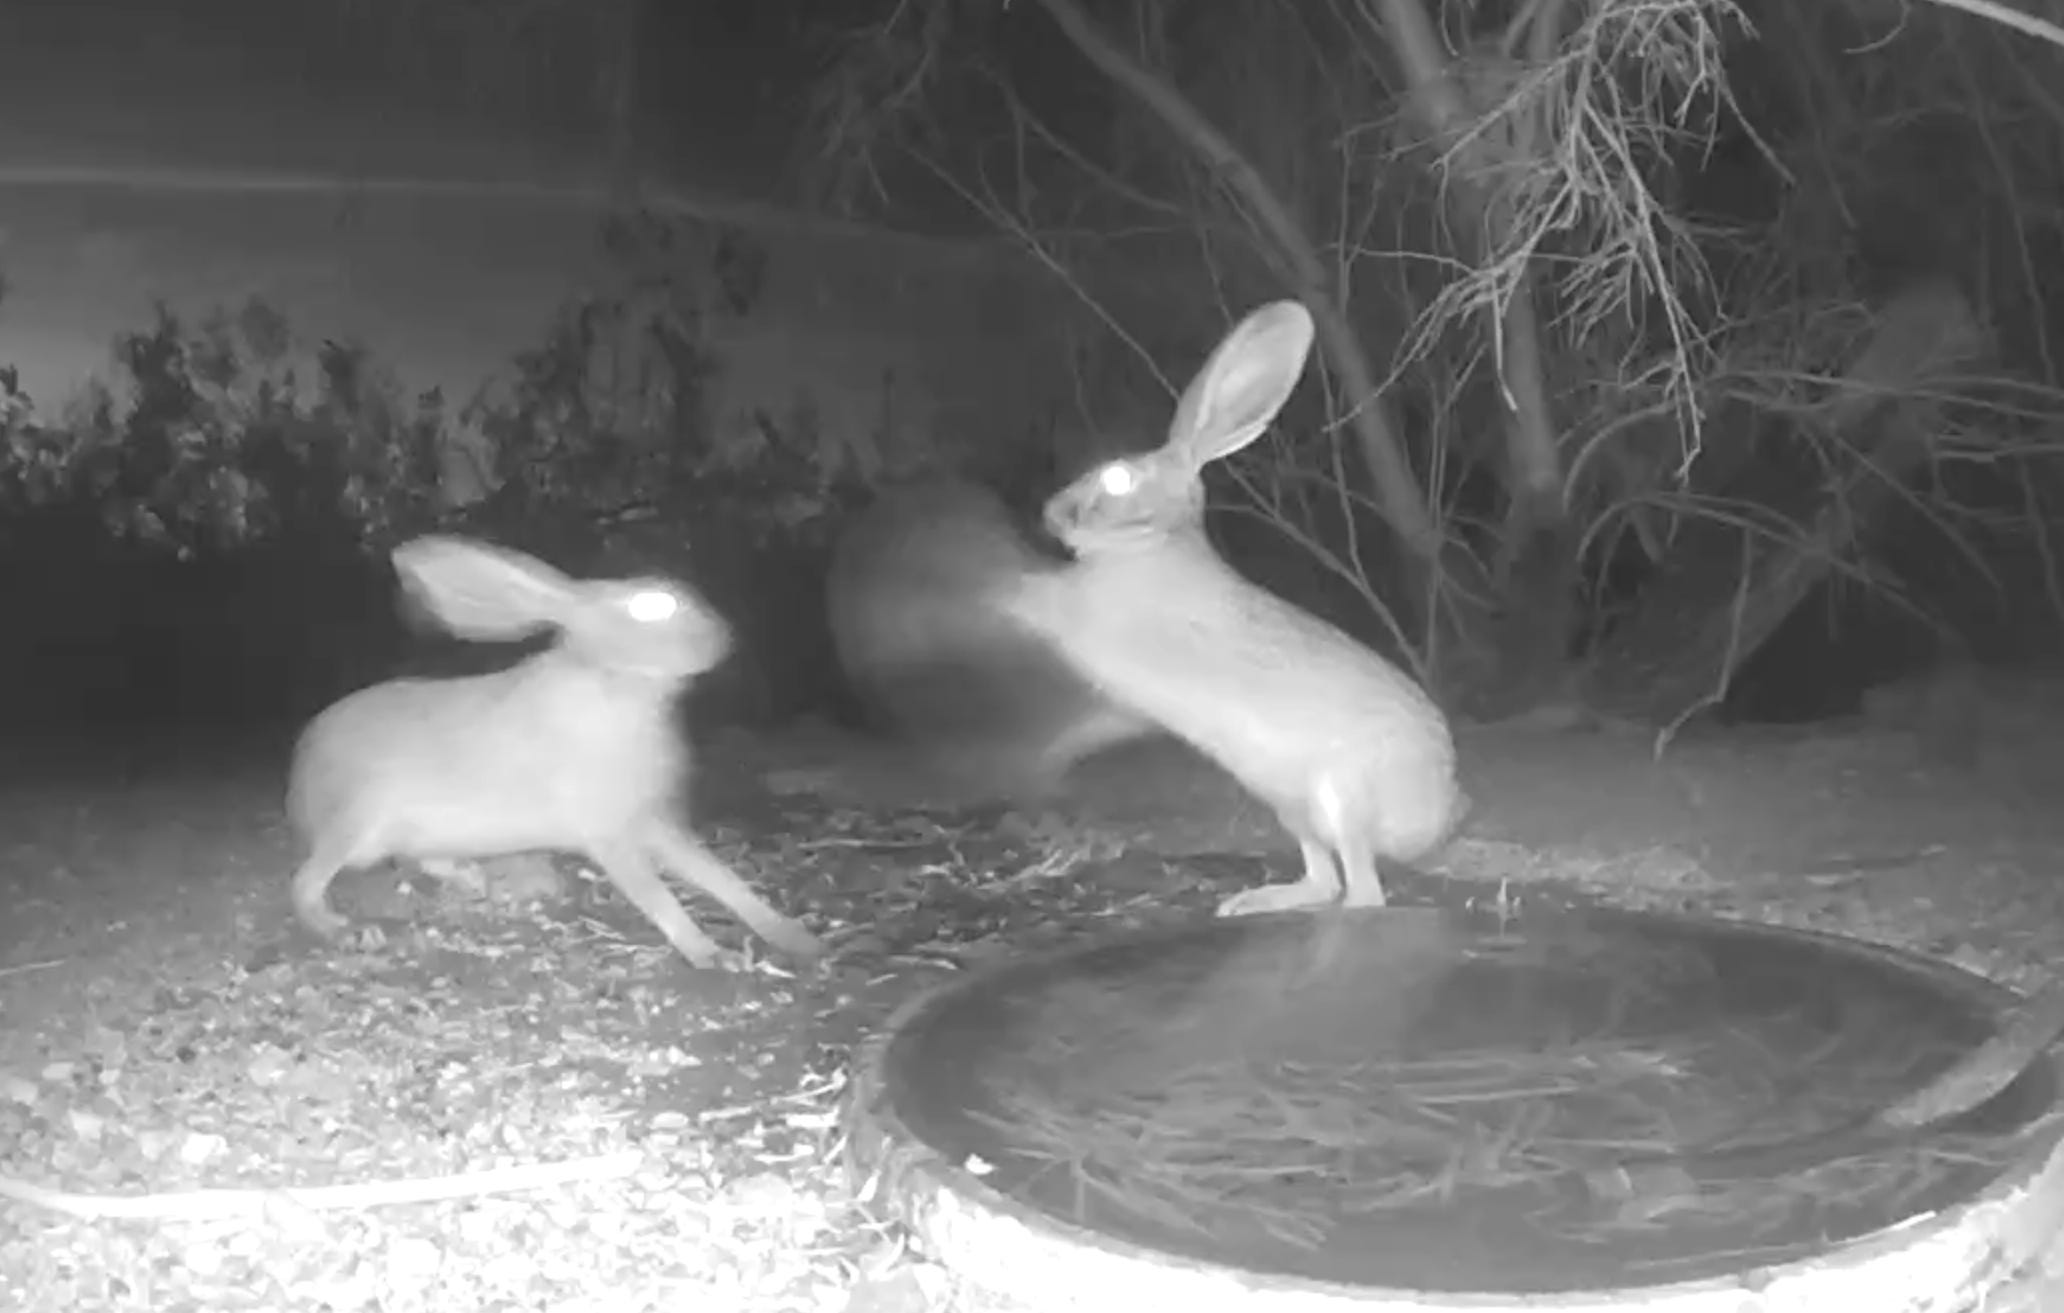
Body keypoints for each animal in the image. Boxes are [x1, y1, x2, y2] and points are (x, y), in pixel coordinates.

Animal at [285, 534, 821, 969]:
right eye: (651, 607)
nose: (724, 636)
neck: (616, 682)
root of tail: (298, 781)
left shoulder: (653, 821)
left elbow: (721, 877)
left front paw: (793, 937)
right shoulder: (610, 832)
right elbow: (657, 894)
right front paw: (710, 954)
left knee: (421, 860)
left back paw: (472, 879)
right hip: (354, 822)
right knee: (305, 883)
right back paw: (347, 929)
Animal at [987, 300, 1464, 916]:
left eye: (1117, 478)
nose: (1052, 511)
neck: (1153, 544)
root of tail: (1434, 820)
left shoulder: (1085, 611)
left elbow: (1028, 595)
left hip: (1344, 795)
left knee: (1361, 890)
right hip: (1294, 810)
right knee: (1324, 878)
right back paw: (1253, 902)